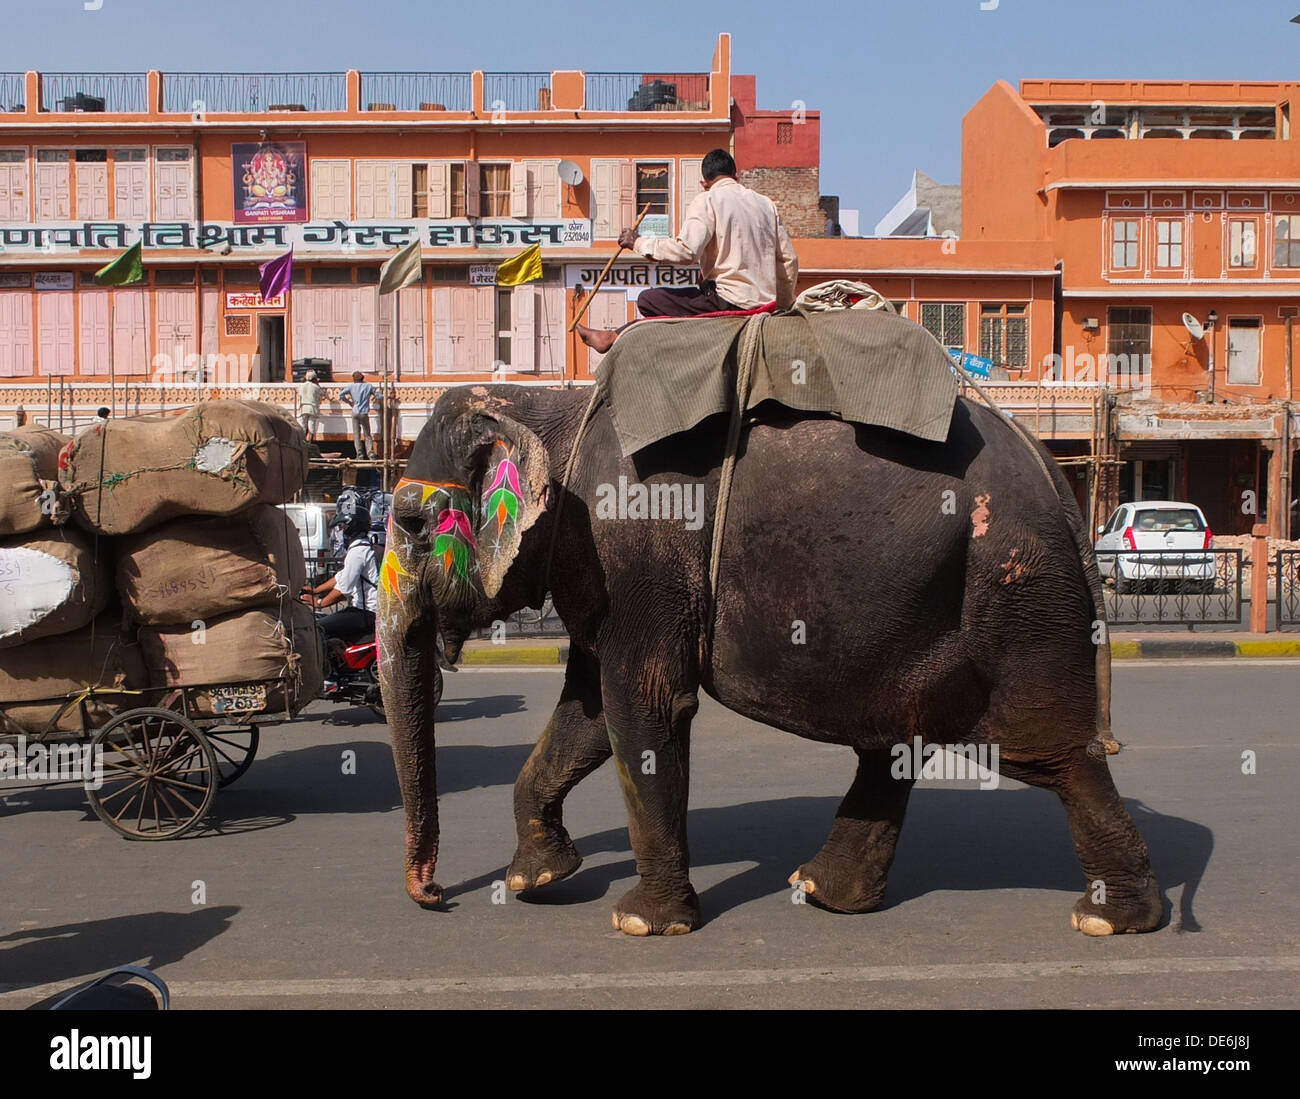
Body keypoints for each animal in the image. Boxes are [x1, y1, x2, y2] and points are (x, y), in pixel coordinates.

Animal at [376, 382, 1163, 938]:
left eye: (411, 524)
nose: (437, 895)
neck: (550, 406)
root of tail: (1054, 470)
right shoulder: (598, 568)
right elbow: (590, 714)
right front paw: (538, 881)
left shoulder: (638, 552)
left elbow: (644, 708)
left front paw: (640, 923)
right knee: (894, 747)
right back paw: (824, 893)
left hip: (1018, 591)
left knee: (1058, 755)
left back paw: (1109, 919)